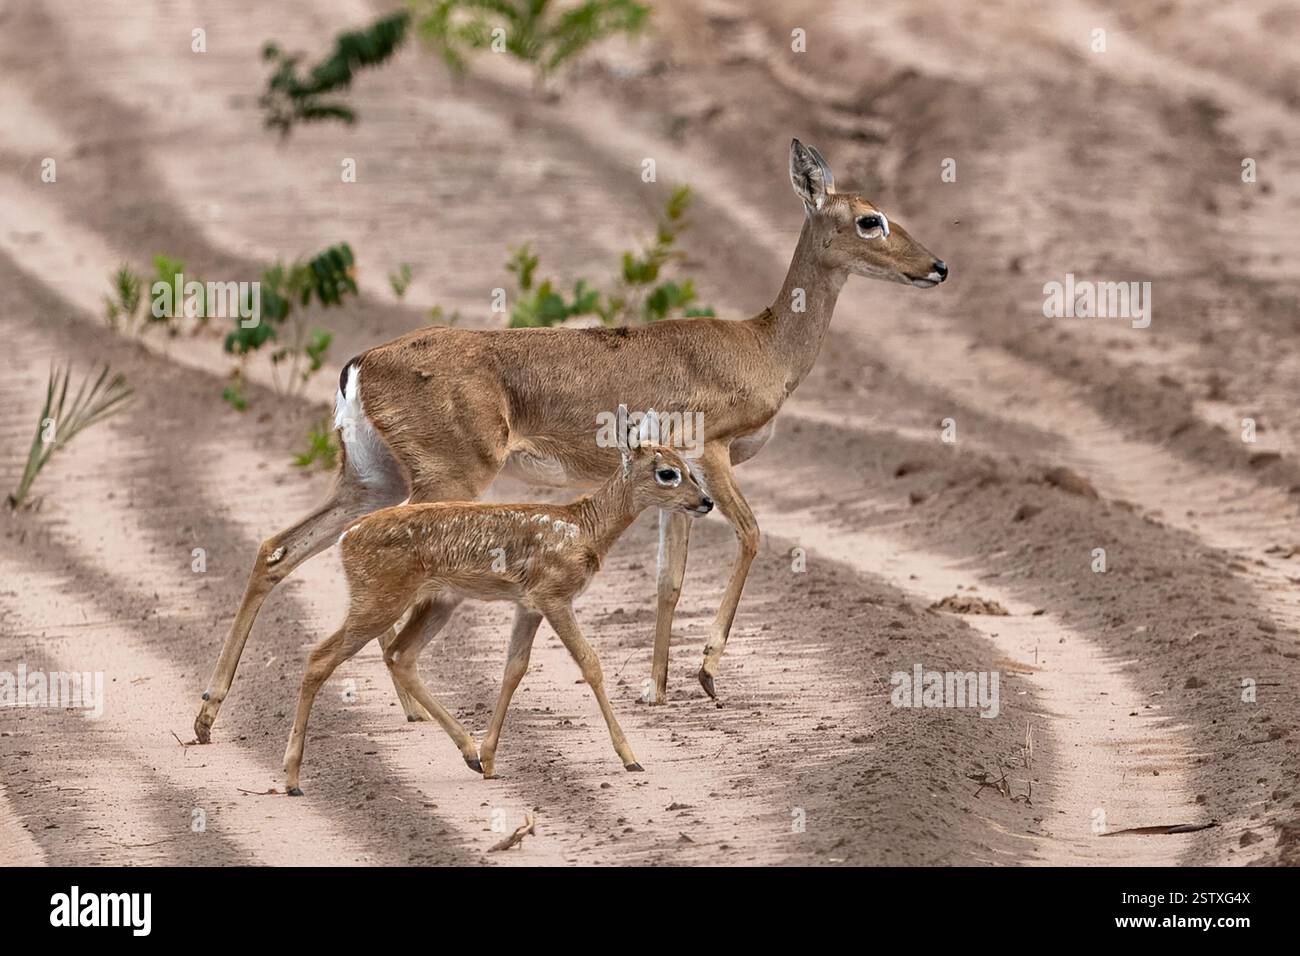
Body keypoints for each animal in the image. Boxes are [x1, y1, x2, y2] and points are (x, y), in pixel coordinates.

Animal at [194, 138, 947, 744]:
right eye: (869, 218)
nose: (937, 266)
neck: (761, 346)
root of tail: (359, 365)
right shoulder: (711, 455)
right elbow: (754, 536)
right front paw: (705, 674)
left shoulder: (679, 483)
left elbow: (670, 582)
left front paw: (658, 689)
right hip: (444, 479)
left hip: (368, 478)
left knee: (277, 549)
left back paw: (209, 712)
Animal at [282, 412, 712, 794]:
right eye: (668, 473)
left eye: (691, 468)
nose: (706, 501)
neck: (584, 529)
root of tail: (346, 538)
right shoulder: (553, 593)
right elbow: (590, 664)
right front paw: (629, 756)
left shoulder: (529, 603)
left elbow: (514, 670)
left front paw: (489, 758)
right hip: (379, 597)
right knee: (321, 657)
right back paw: (292, 778)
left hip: (436, 601)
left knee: (400, 655)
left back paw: (469, 753)